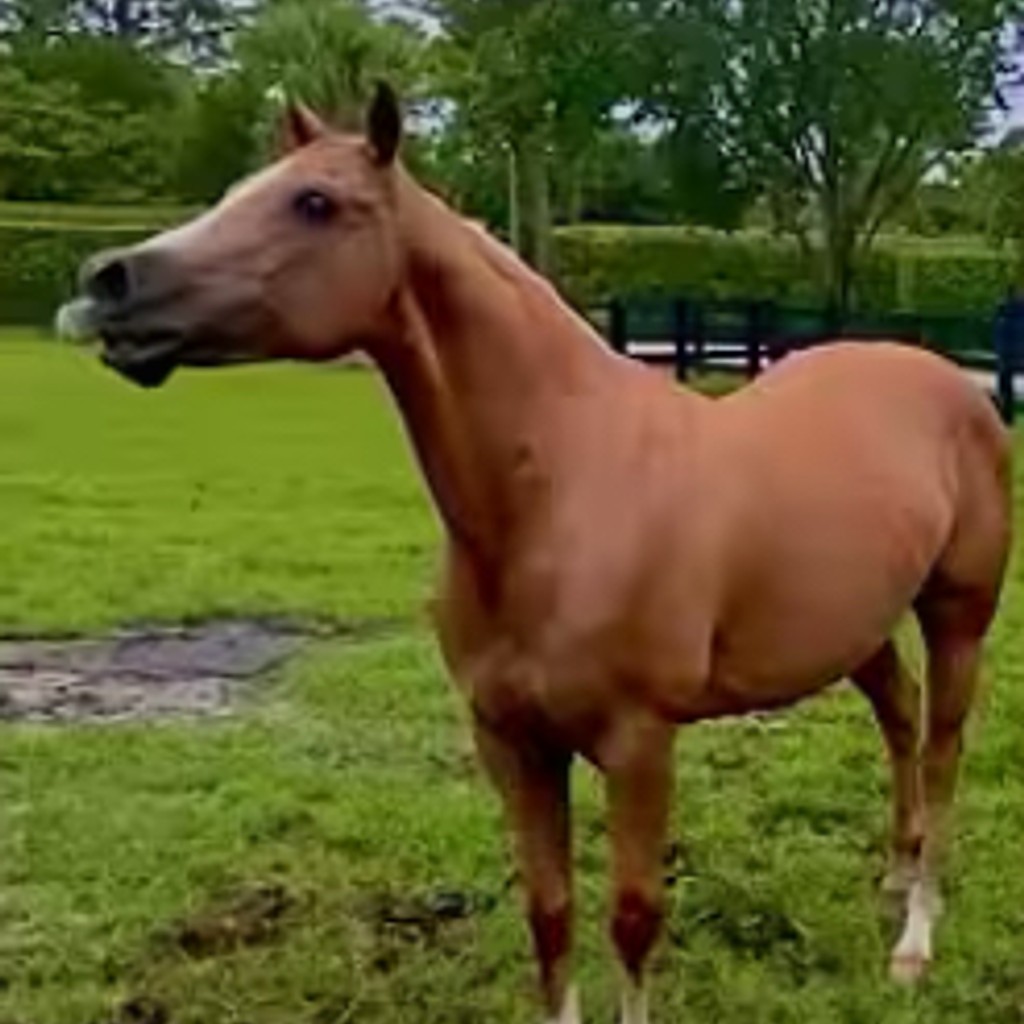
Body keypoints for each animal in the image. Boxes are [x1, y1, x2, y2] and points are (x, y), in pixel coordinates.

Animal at [58, 86, 1012, 1023]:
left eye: (316, 202)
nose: (106, 282)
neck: (562, 491)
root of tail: (954, 382)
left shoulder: (638, 742)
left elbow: (632, 919)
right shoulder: (511, 743)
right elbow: (550, 916)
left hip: (958, 617)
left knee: (942, 750)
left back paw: (914, 941)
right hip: (856, 629)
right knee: (899, 717)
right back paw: (892, 880)